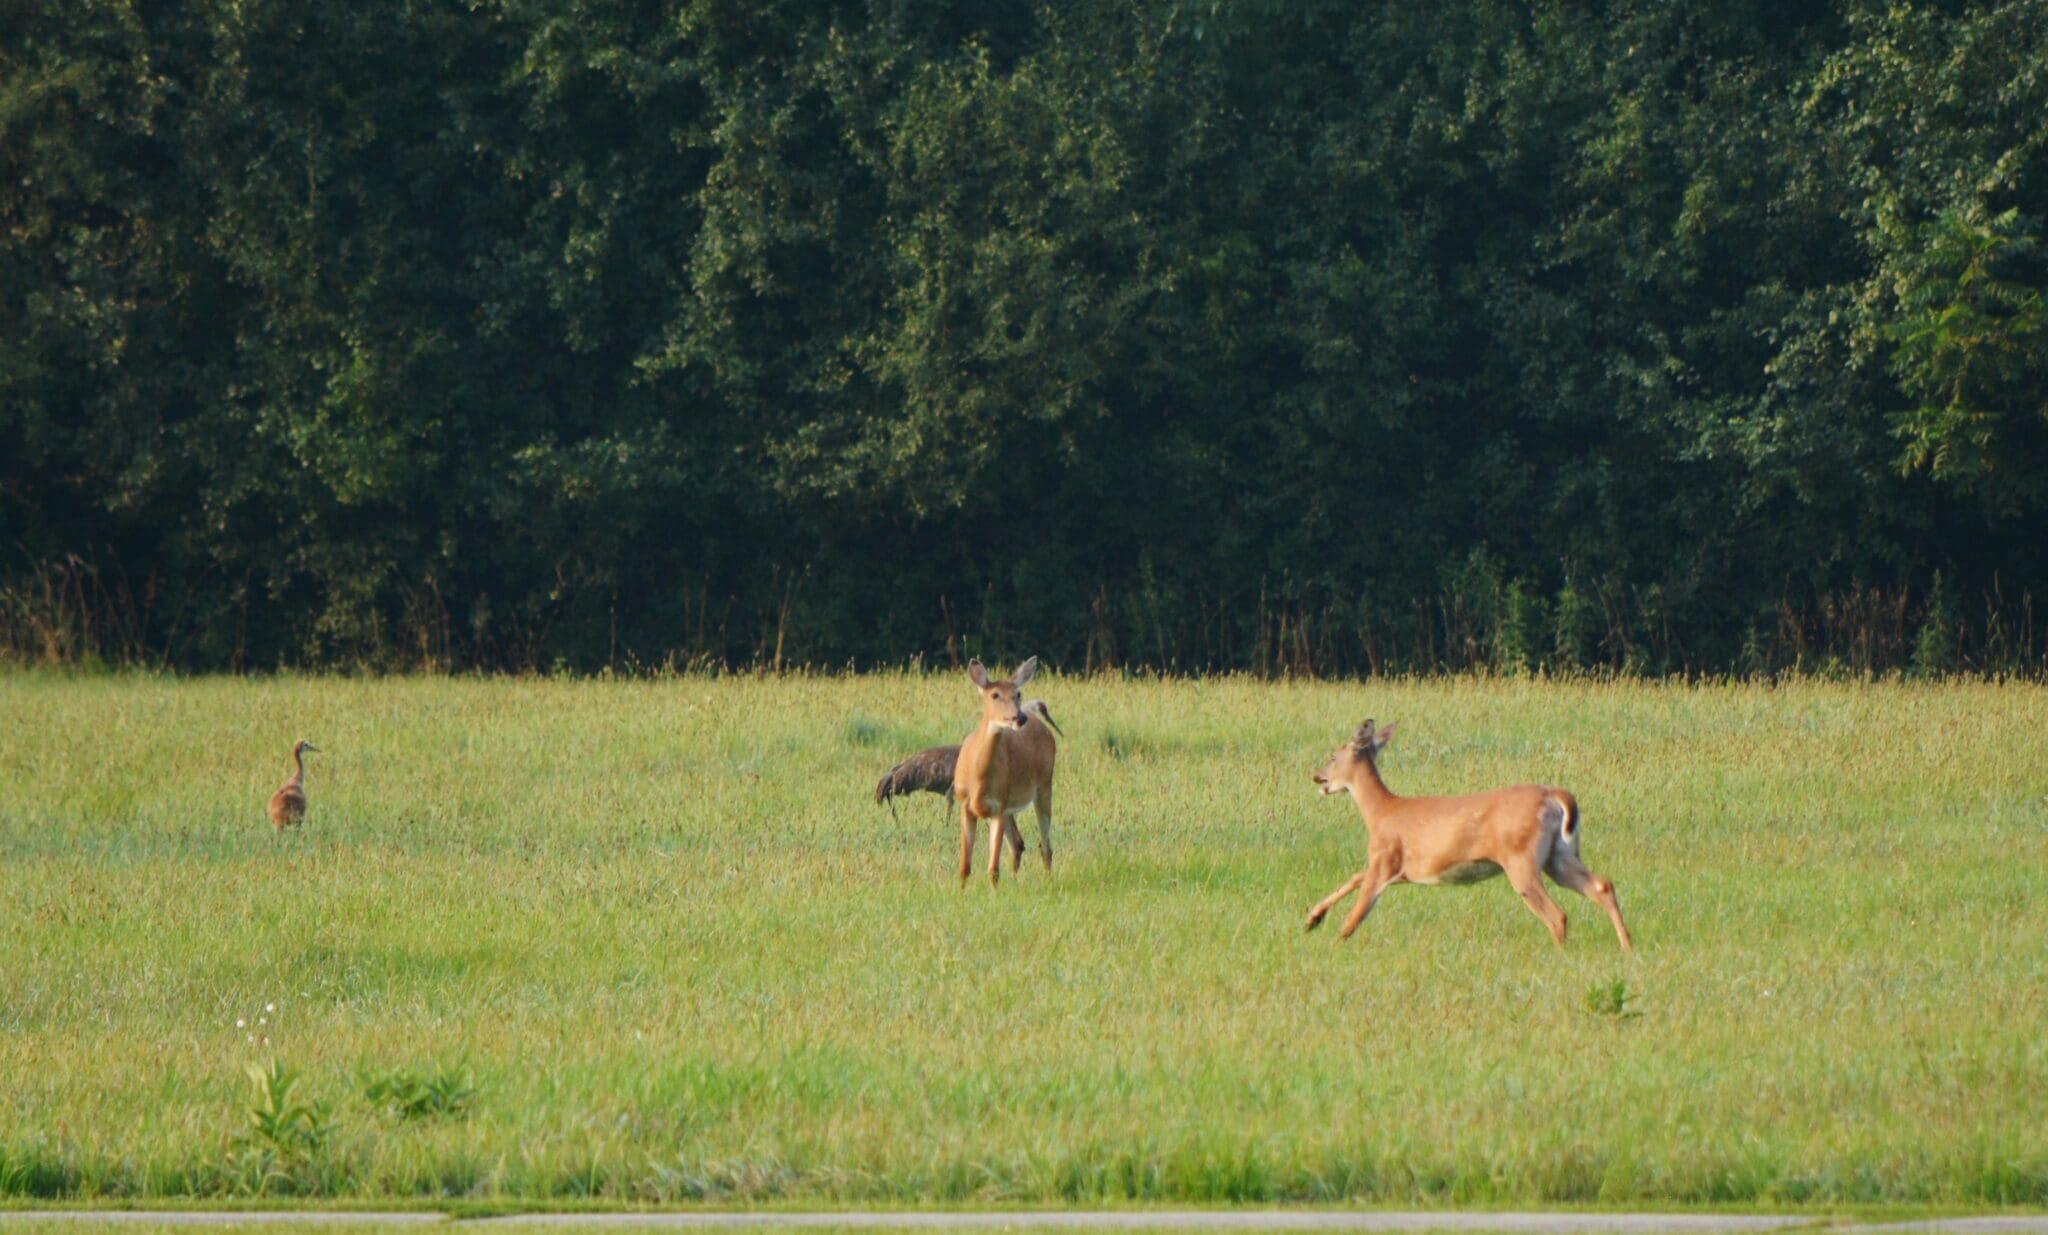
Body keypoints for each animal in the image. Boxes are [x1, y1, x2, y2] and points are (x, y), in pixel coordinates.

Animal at [954, 657, 1057, 886]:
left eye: (1018, 694)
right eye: (994, 695)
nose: (1019, 717)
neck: (978, 779)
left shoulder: (998, 806)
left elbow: (993, 868)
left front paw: (994, 891)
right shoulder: (966, 805)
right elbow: (964, 866)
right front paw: (960, 891)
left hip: (1044, 786)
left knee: (1045, 846)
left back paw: (1047, 881)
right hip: (1011, 806)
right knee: (1018, 844)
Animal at [1306, 719, 1634, 953]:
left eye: (1333, 756)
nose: (1318, 777)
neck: (1380, 813)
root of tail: (1555, 796)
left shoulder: (1385, 858)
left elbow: (1354, 917)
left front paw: (1328, 948)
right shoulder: (1398, 868)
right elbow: (1354, 879)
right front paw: (1312, 918)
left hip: (1521, 858)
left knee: (1557, 914)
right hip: (1560, 855)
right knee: (1603, 886)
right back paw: (1628, 948)